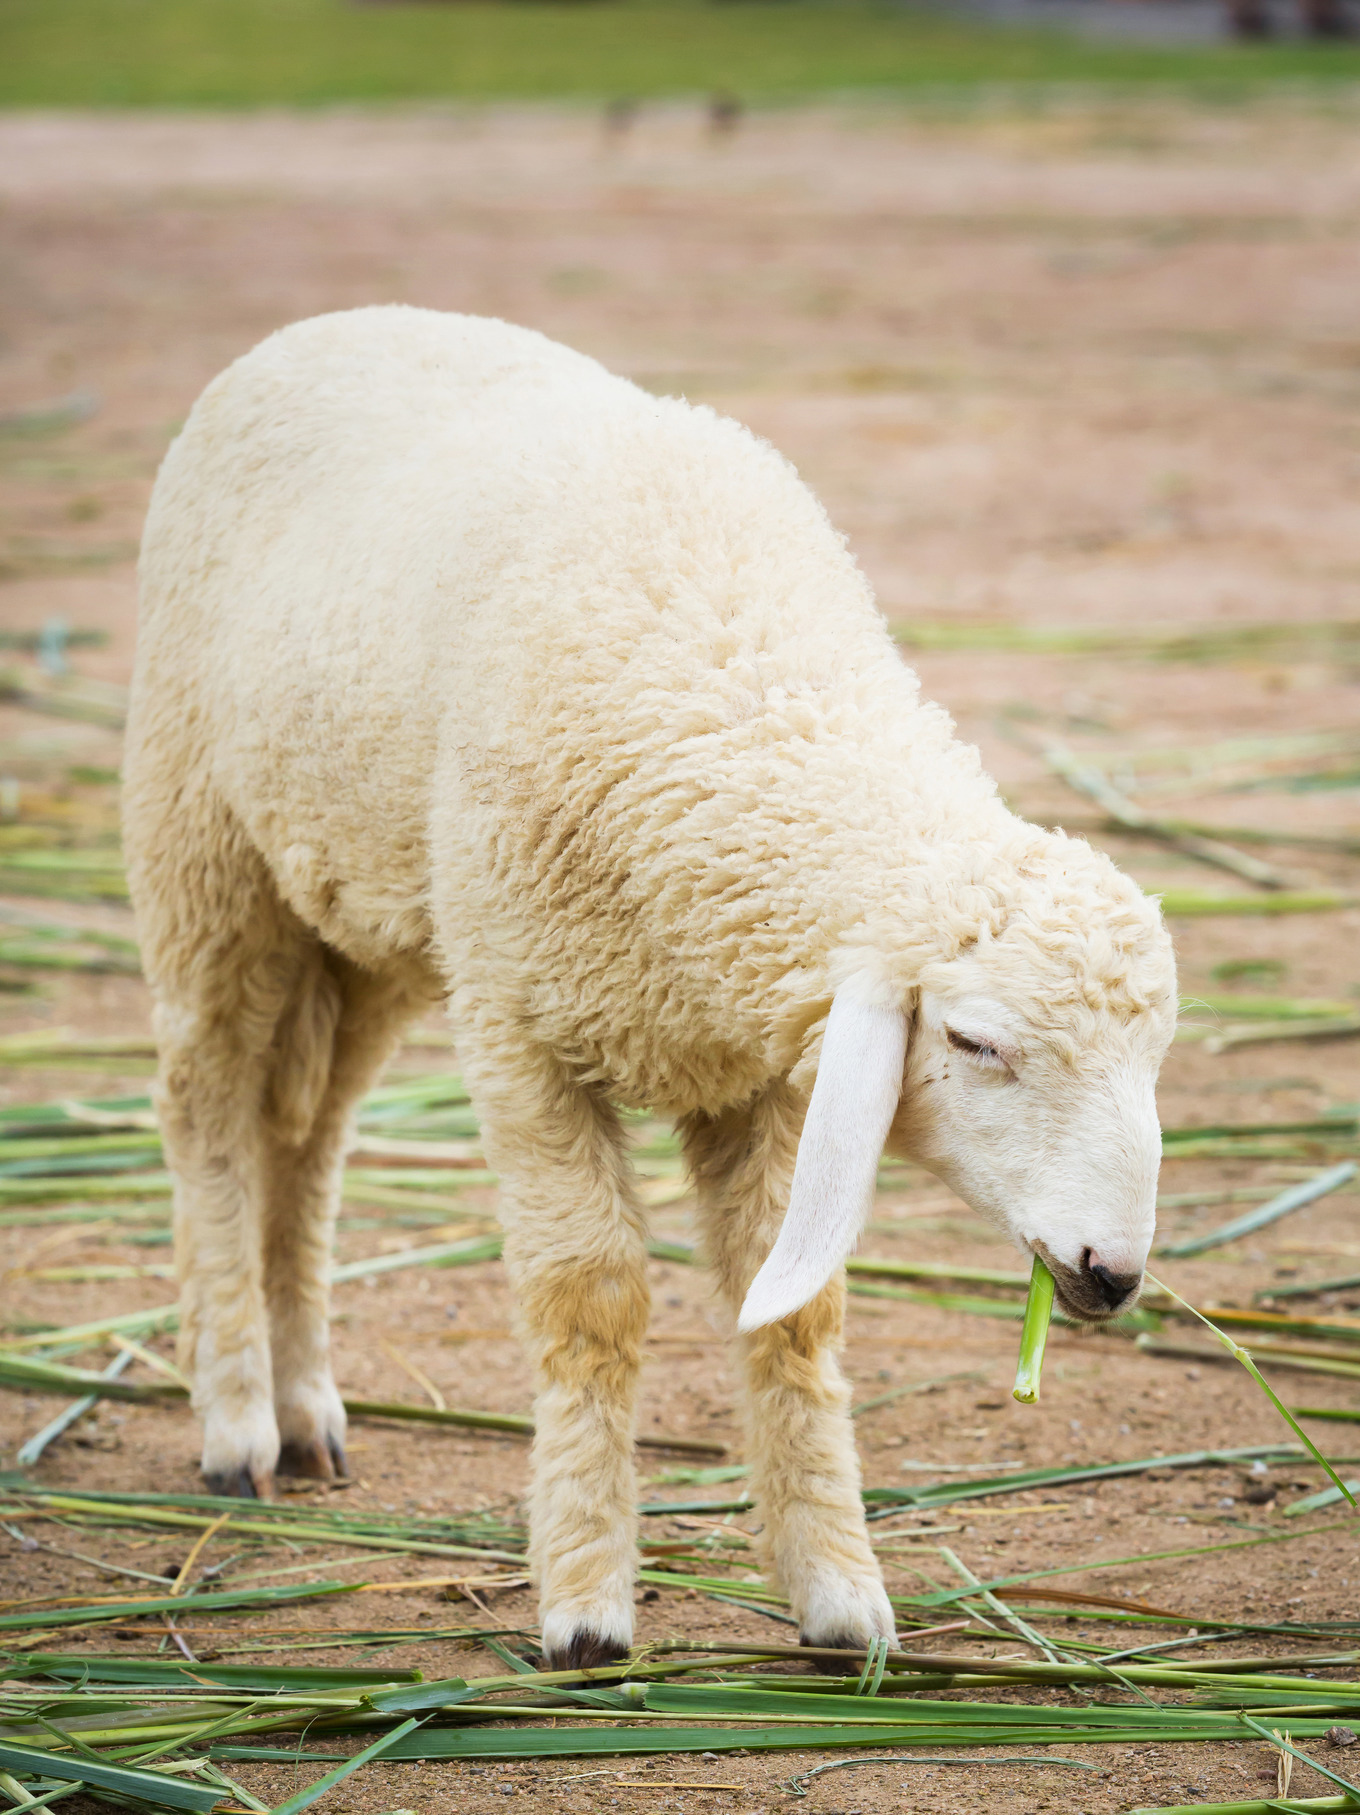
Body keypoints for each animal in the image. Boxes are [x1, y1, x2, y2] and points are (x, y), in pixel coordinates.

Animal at [124, 304, 1178, 1670]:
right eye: (975, 1041)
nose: (1111, 1272)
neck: (736, 688)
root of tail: (339, 319)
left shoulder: (763, 1070)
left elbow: (793, 1312)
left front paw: (835, 1594)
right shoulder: (520, 1026)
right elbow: (591, 1303)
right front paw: (583, 1601)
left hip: (364, 910)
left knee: (305, 1138)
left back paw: (308, 1412)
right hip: (204, 846)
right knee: (206, 1110)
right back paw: (239, 1424)